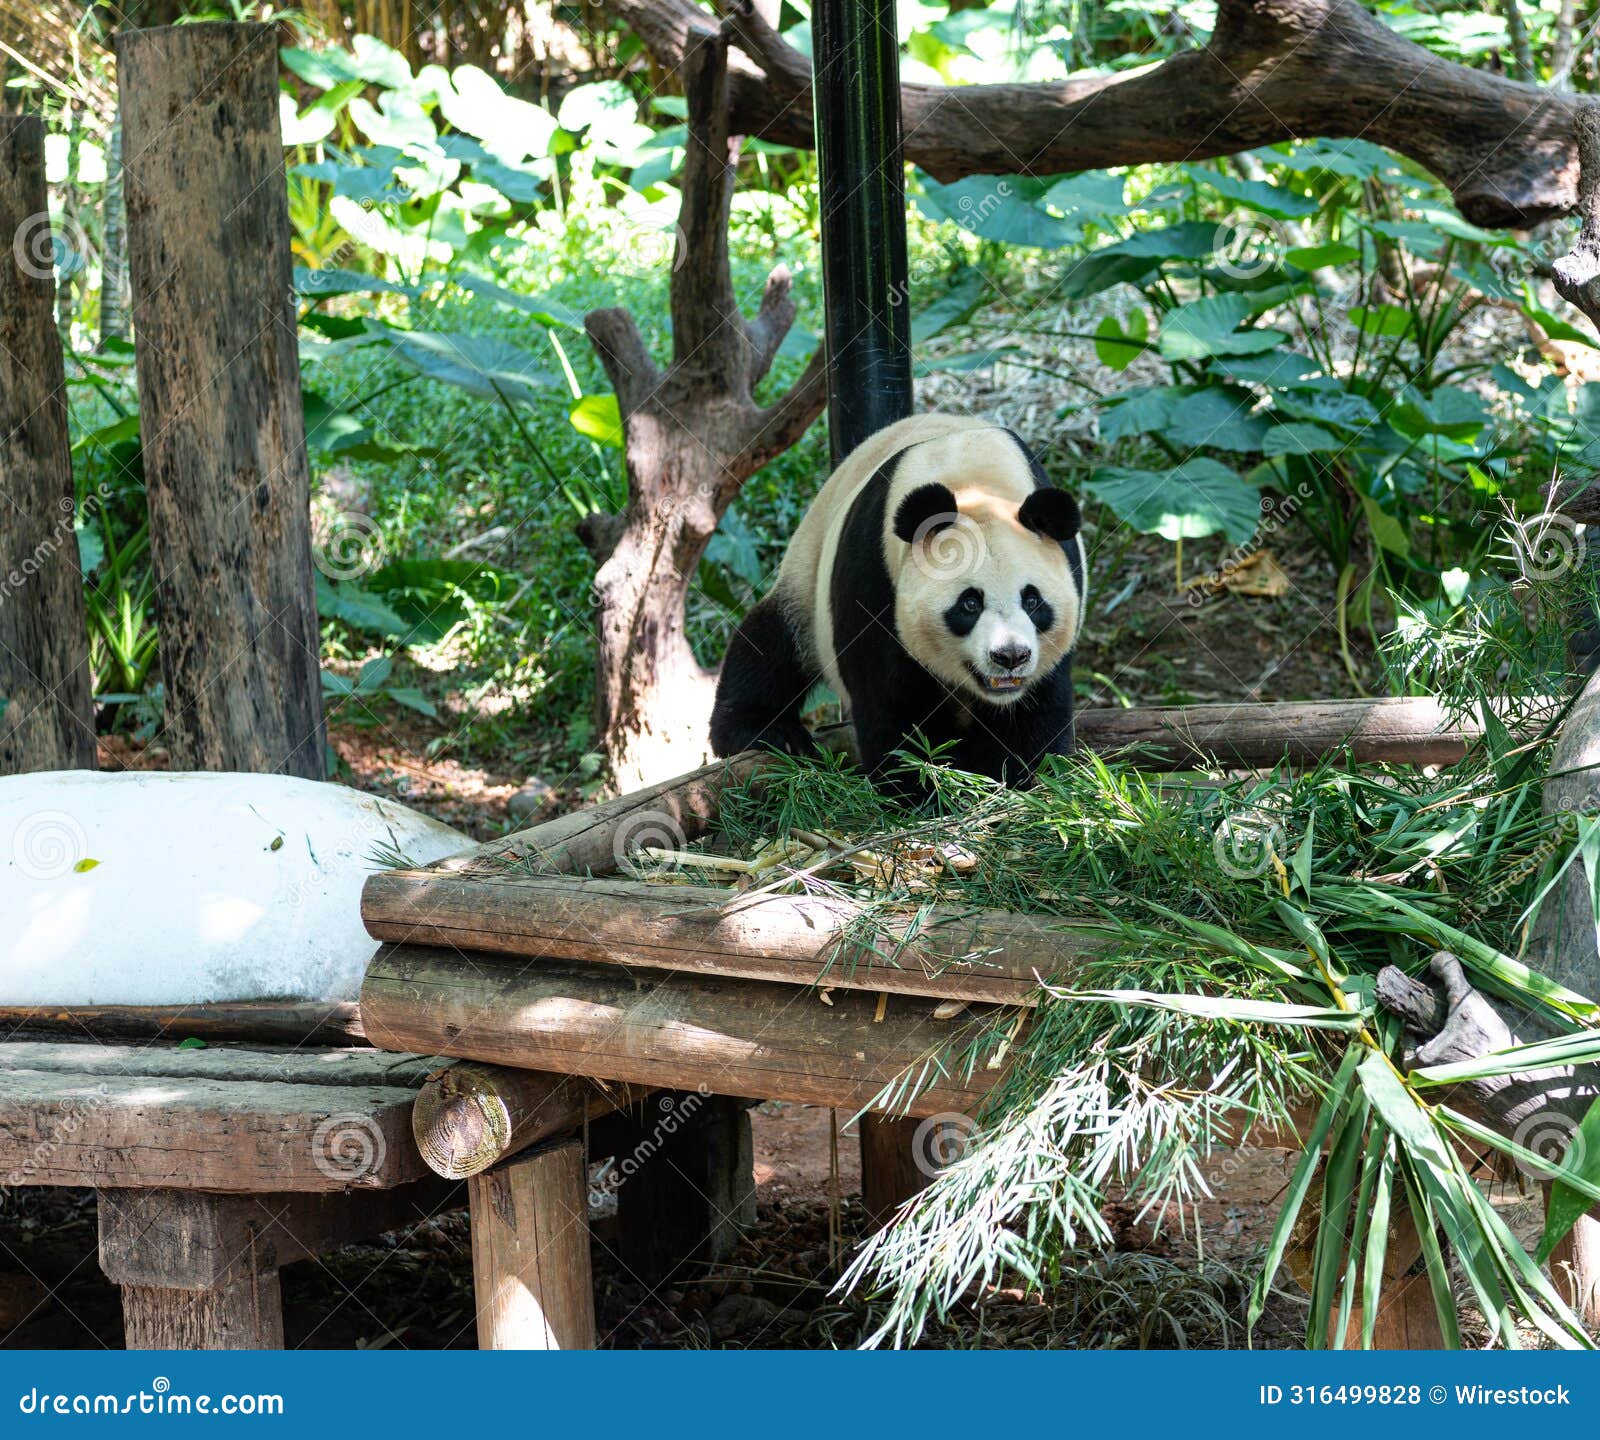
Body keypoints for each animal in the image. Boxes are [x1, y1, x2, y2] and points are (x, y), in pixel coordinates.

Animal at [709, 414, 1086, 790]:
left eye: (1033, 600)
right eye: (969, 604)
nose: (1010, 656)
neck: (970, 478)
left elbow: (1033, 710)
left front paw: (1011, 778)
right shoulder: (874, 572)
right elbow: (893, 702)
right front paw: (921, 785)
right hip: (807, 576)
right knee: (771, 645)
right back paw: (770, 733)